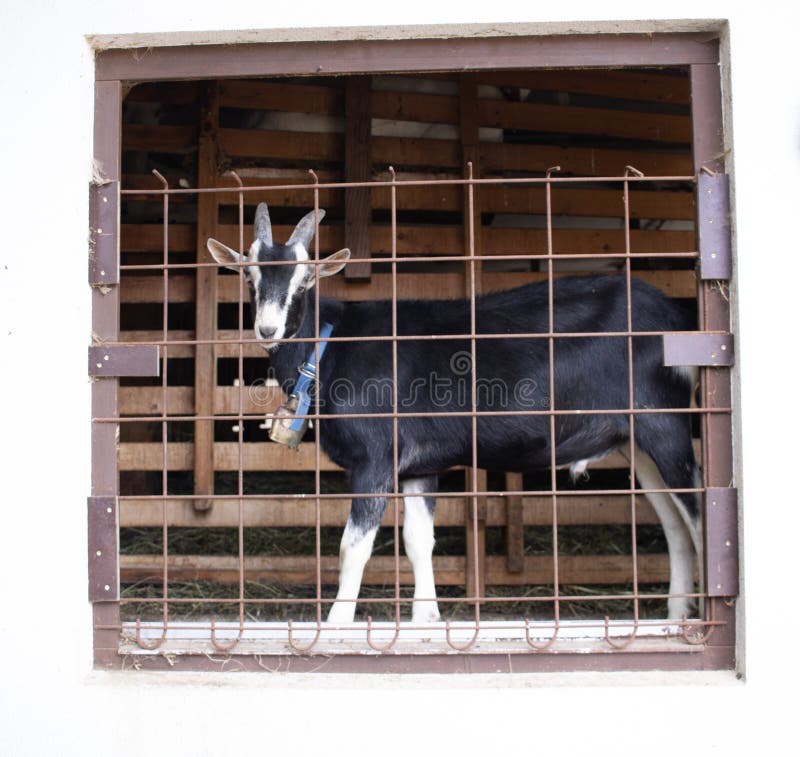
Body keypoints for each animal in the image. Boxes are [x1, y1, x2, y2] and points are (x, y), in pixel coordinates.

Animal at [207, 203, 702, 625]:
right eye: (249, 277)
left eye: (304, 281)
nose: (267, 329)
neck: (330, 344)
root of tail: (676, 319)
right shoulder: (418, 467)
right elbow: (418, 541)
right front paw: (426, 618)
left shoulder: (375, 457)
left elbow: (354, 546)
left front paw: (335, 626)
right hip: (635, 441)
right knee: (674, 523)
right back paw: (677, 614)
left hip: (664, 422)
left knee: (697, 510)